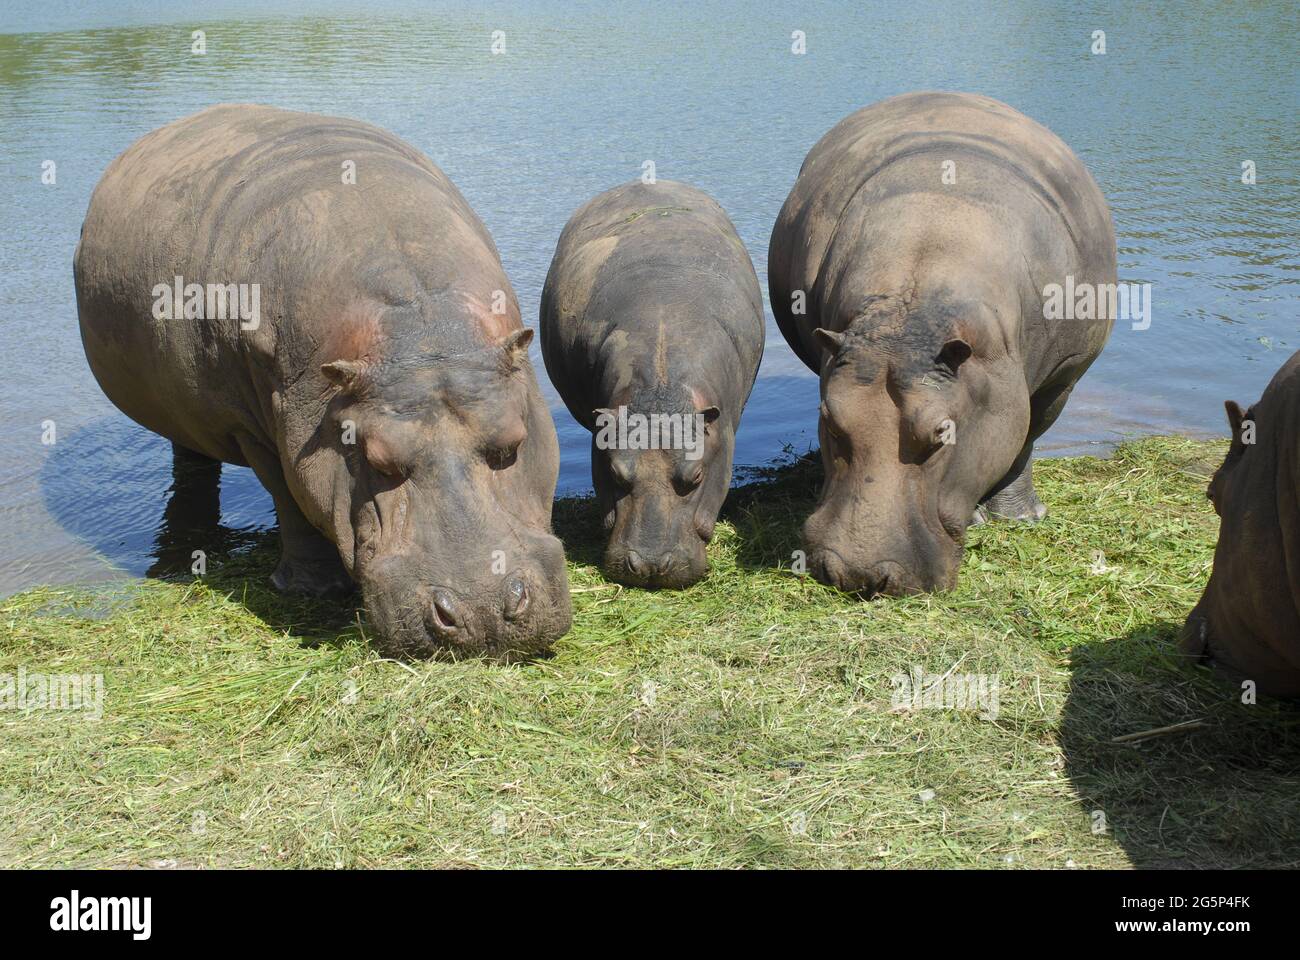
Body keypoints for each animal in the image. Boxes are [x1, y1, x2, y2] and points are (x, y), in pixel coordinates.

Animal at [74, 104, 571, 661]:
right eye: (374, 459)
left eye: (514, 443)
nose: (479, 612)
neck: (421, 334)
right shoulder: (256, 427)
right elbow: (288, 497)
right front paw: (312, 589)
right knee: (192, 456)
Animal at [768, 91, 1117, 595]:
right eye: (830, 422)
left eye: (941, 434)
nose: (858, 573)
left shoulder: (1062, 376)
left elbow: (1025, 440)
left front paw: (1018, 519)